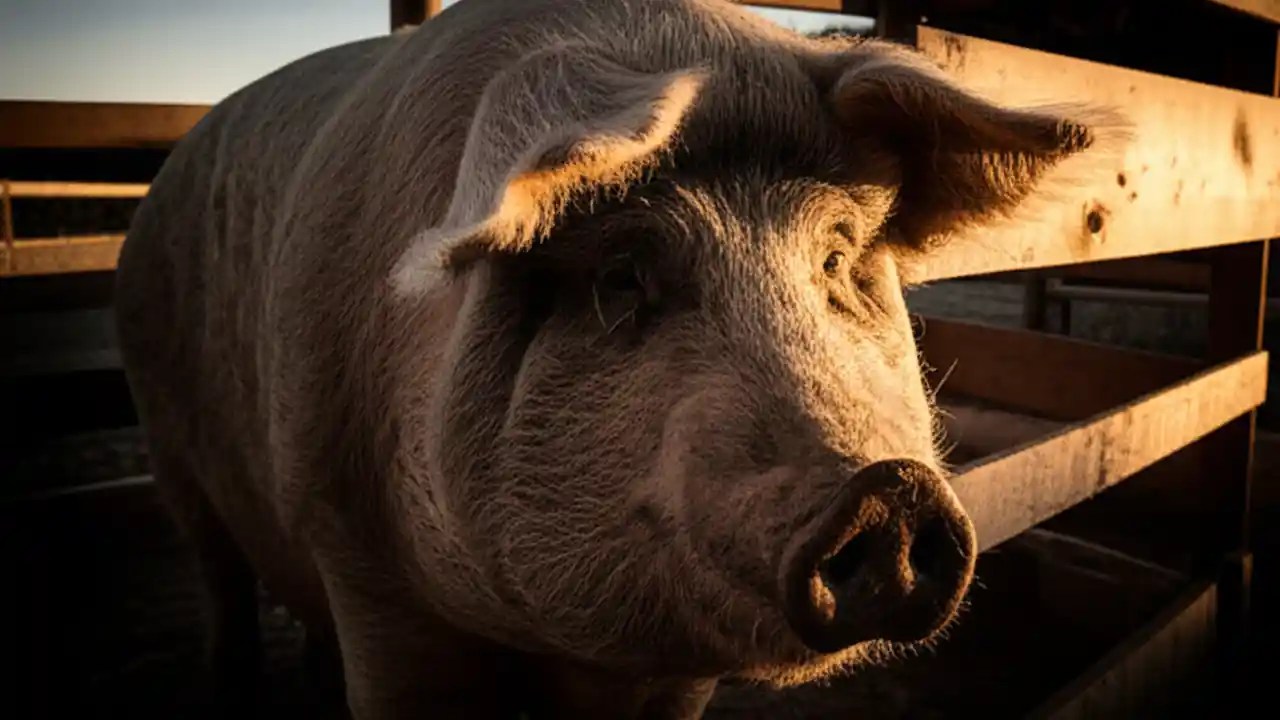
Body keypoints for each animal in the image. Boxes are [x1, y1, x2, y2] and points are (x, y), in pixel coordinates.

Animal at [113, 0, 1126, 717]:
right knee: (219, 575)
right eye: (621, 278)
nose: (890, 488)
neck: (550, 646)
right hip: (164, 432)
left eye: (836, 261)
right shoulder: (355, 550)